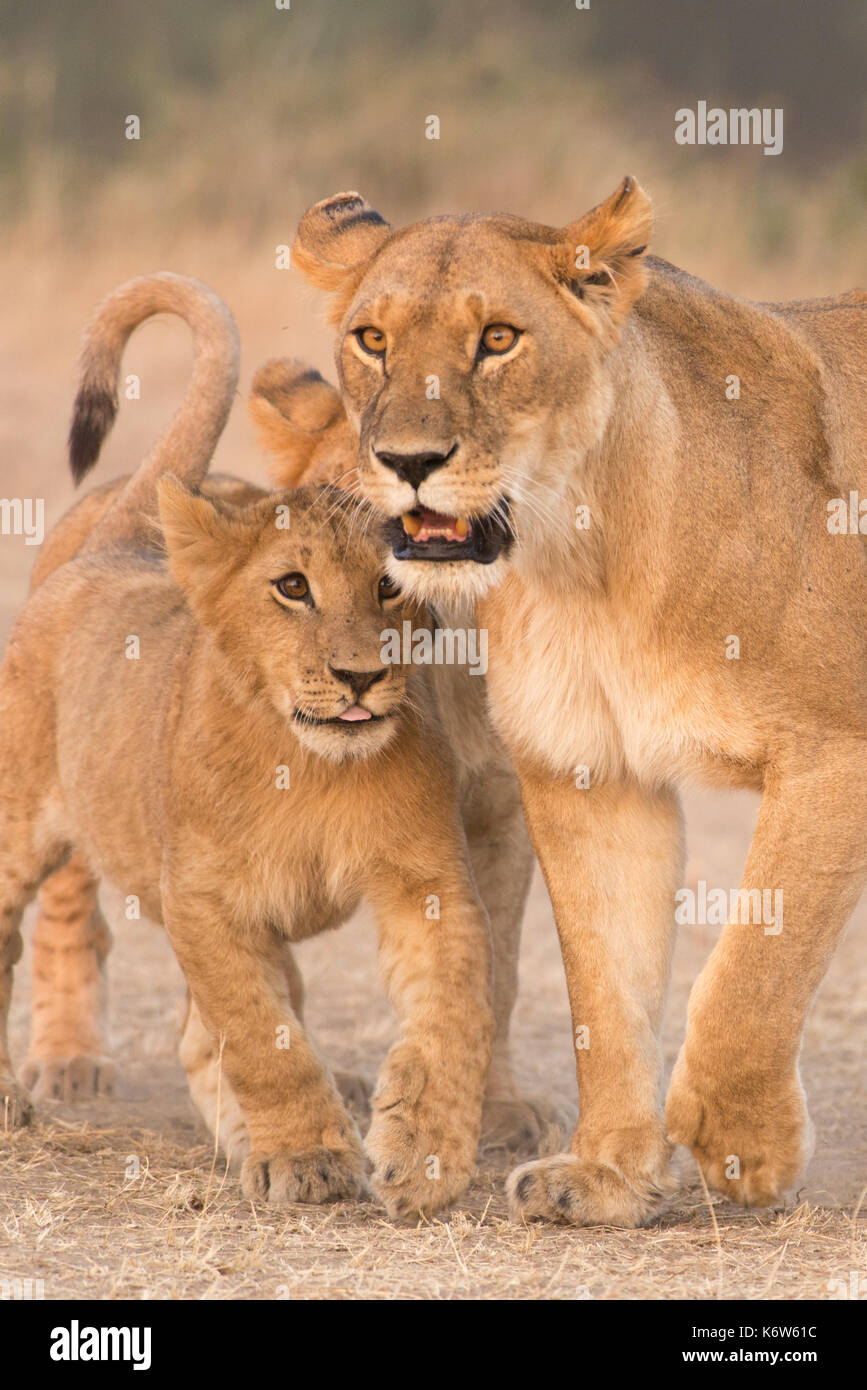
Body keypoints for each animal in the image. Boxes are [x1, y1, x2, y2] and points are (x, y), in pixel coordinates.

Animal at [0, 272, 553, 1217]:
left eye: (387, 585)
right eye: (292, 587)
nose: (360, 676)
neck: (309, 769)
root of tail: (115, 542)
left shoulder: (435, 875)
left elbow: (460, 1005)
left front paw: (427, 1149)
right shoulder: (203, 902)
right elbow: (264, 1035)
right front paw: (308, 1158)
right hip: (24, 825)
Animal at [287, 180, 867, 1226]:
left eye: (499, 339)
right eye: (373, 340)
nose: (406, 460)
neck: (586, 556)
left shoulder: (834, 750)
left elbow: (756, 969)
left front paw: (743, 1146)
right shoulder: (587, 770)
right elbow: (605, 992)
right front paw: (605, 1176)